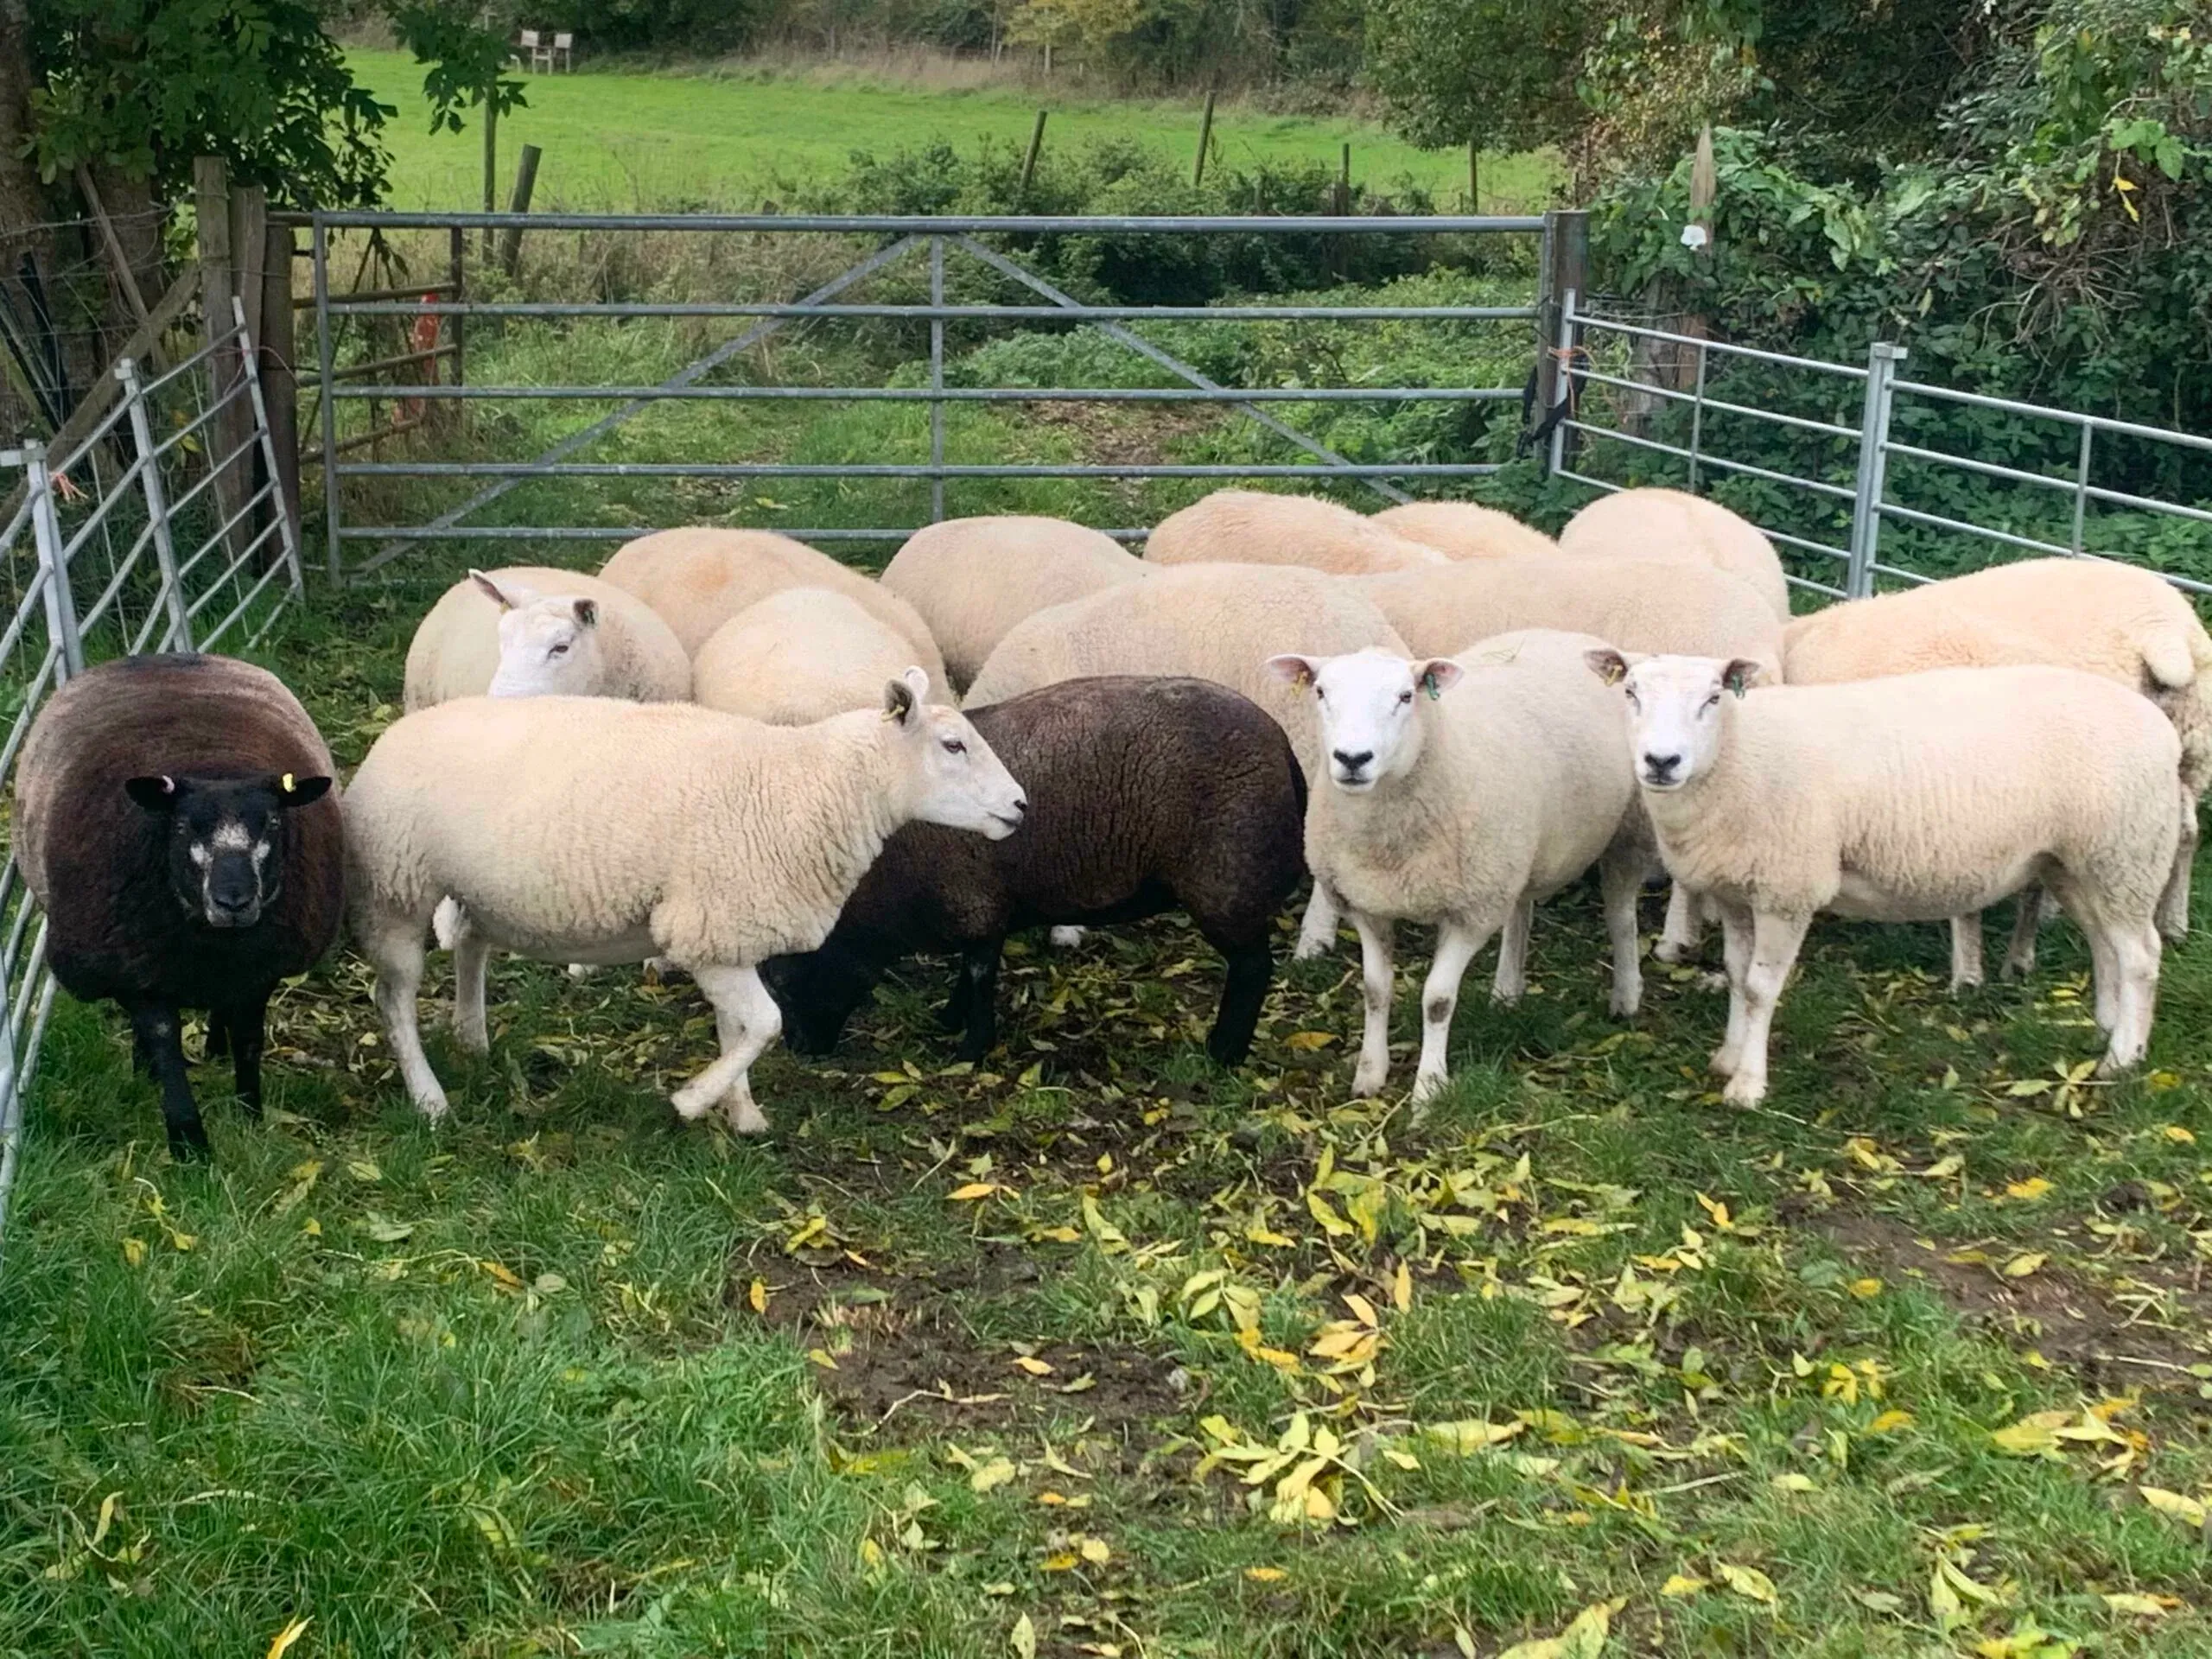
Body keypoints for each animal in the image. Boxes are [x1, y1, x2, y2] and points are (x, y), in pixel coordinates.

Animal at [13, 654, 342, 1157]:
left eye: (271, 822)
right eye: (183, 826)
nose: (233, 900)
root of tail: (153, 657)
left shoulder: (258, 970)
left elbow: (249, 1040)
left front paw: (249, 1114)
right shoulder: (137, 972)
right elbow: (164, 1044)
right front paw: (189, 1143)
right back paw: (144, 1070)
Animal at [343, 671, 1025, 1134]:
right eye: (953, 746)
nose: (1021, 806)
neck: (806, 787)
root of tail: (394, 731)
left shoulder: (727, 932)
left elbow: (738, 1028)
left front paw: (742, 1113)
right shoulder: (706, 927)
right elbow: (767, 1024)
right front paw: (692, 1101)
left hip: (477, 887)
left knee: (472, 947)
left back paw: (474, 1040)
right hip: (395, 886)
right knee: (393, 998)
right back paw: (429, 1097)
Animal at [761, 675, 1306, 1066]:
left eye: (784, 982)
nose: (799, 1049)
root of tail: (1284, 749)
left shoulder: (976, 904)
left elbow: (979, 974)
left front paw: (970, 1049)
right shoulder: (983, 911)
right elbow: (970, 971)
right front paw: (950, 1019)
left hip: (1227, 885)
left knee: (1254, 969)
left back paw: (1224, 1053)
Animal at [1266, 633, 1648, 1106]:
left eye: (1405, 696)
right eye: (1320, 692)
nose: (1353, 759)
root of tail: (1571, 636)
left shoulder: (1470, 913)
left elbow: (1438, 1001)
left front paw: (1429, 1088)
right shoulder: (1368, 904)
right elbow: (1375, 990)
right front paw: (1370, 1073)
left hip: (1628, 829)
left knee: (1621, 916)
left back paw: (1626, 997)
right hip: (1517, 851)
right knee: (1520, 911)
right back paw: (1506, 991)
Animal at [1587, 651, 2182, 1104]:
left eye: (1713, 699)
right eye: (1630, 693)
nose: (1662, 761)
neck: (1738, 755)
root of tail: (2163, 727)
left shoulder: (1788, 888)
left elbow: (1759, 989)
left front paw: (1748, 1085)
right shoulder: (1735, 888)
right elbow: (1736, 975)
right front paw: (1728, 1058)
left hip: (2126, 851)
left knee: (2141, 956)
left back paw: (2123, 1057)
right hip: (2078, 864)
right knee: (2106, 943)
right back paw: (2108, 1024)